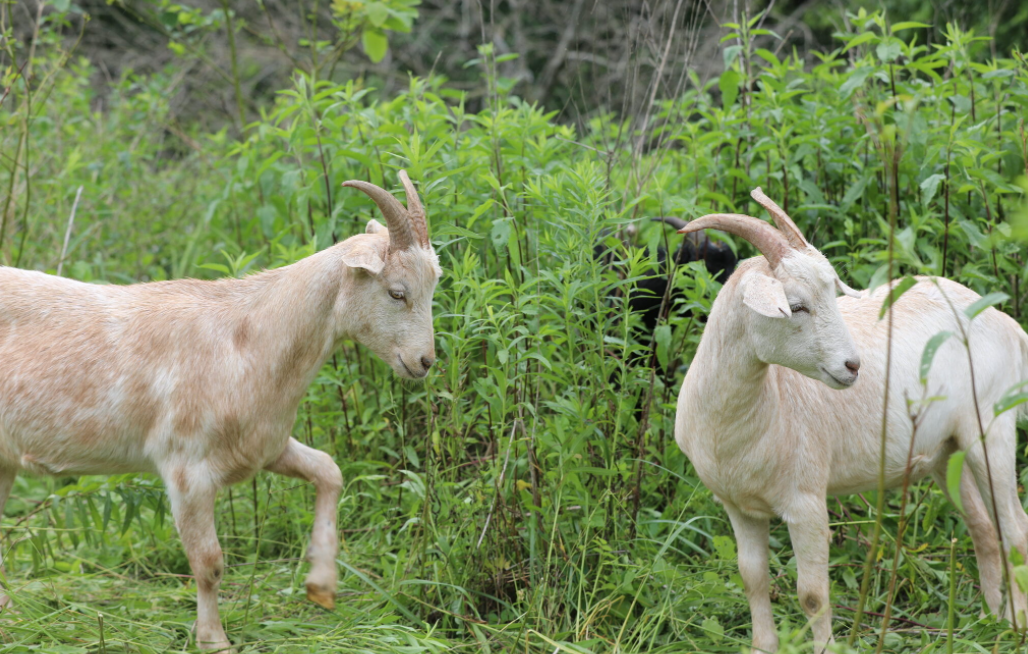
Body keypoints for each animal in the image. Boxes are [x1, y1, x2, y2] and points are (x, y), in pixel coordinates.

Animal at [0, 171, 441, 652]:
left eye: (434, 285)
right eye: (396, 292)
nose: (424, 362)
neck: (249, 337)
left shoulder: (265, 444)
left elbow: (329, 470)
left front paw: (322, 584)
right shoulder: (186, 469)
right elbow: (209, 562)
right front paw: (214, 638)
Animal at [673, 188, 1028, 652]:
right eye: (796, 306)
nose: (852, 365)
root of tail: (1005, 321)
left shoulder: (806, 500)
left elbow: (812, 593)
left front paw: (825, 646)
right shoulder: (738, 506)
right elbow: (753, 578)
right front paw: (763, 645)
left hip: (991, 429)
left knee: (1015, 529)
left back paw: (1016, 625)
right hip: (945, 450)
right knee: (984, 528)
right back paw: (990, 619)